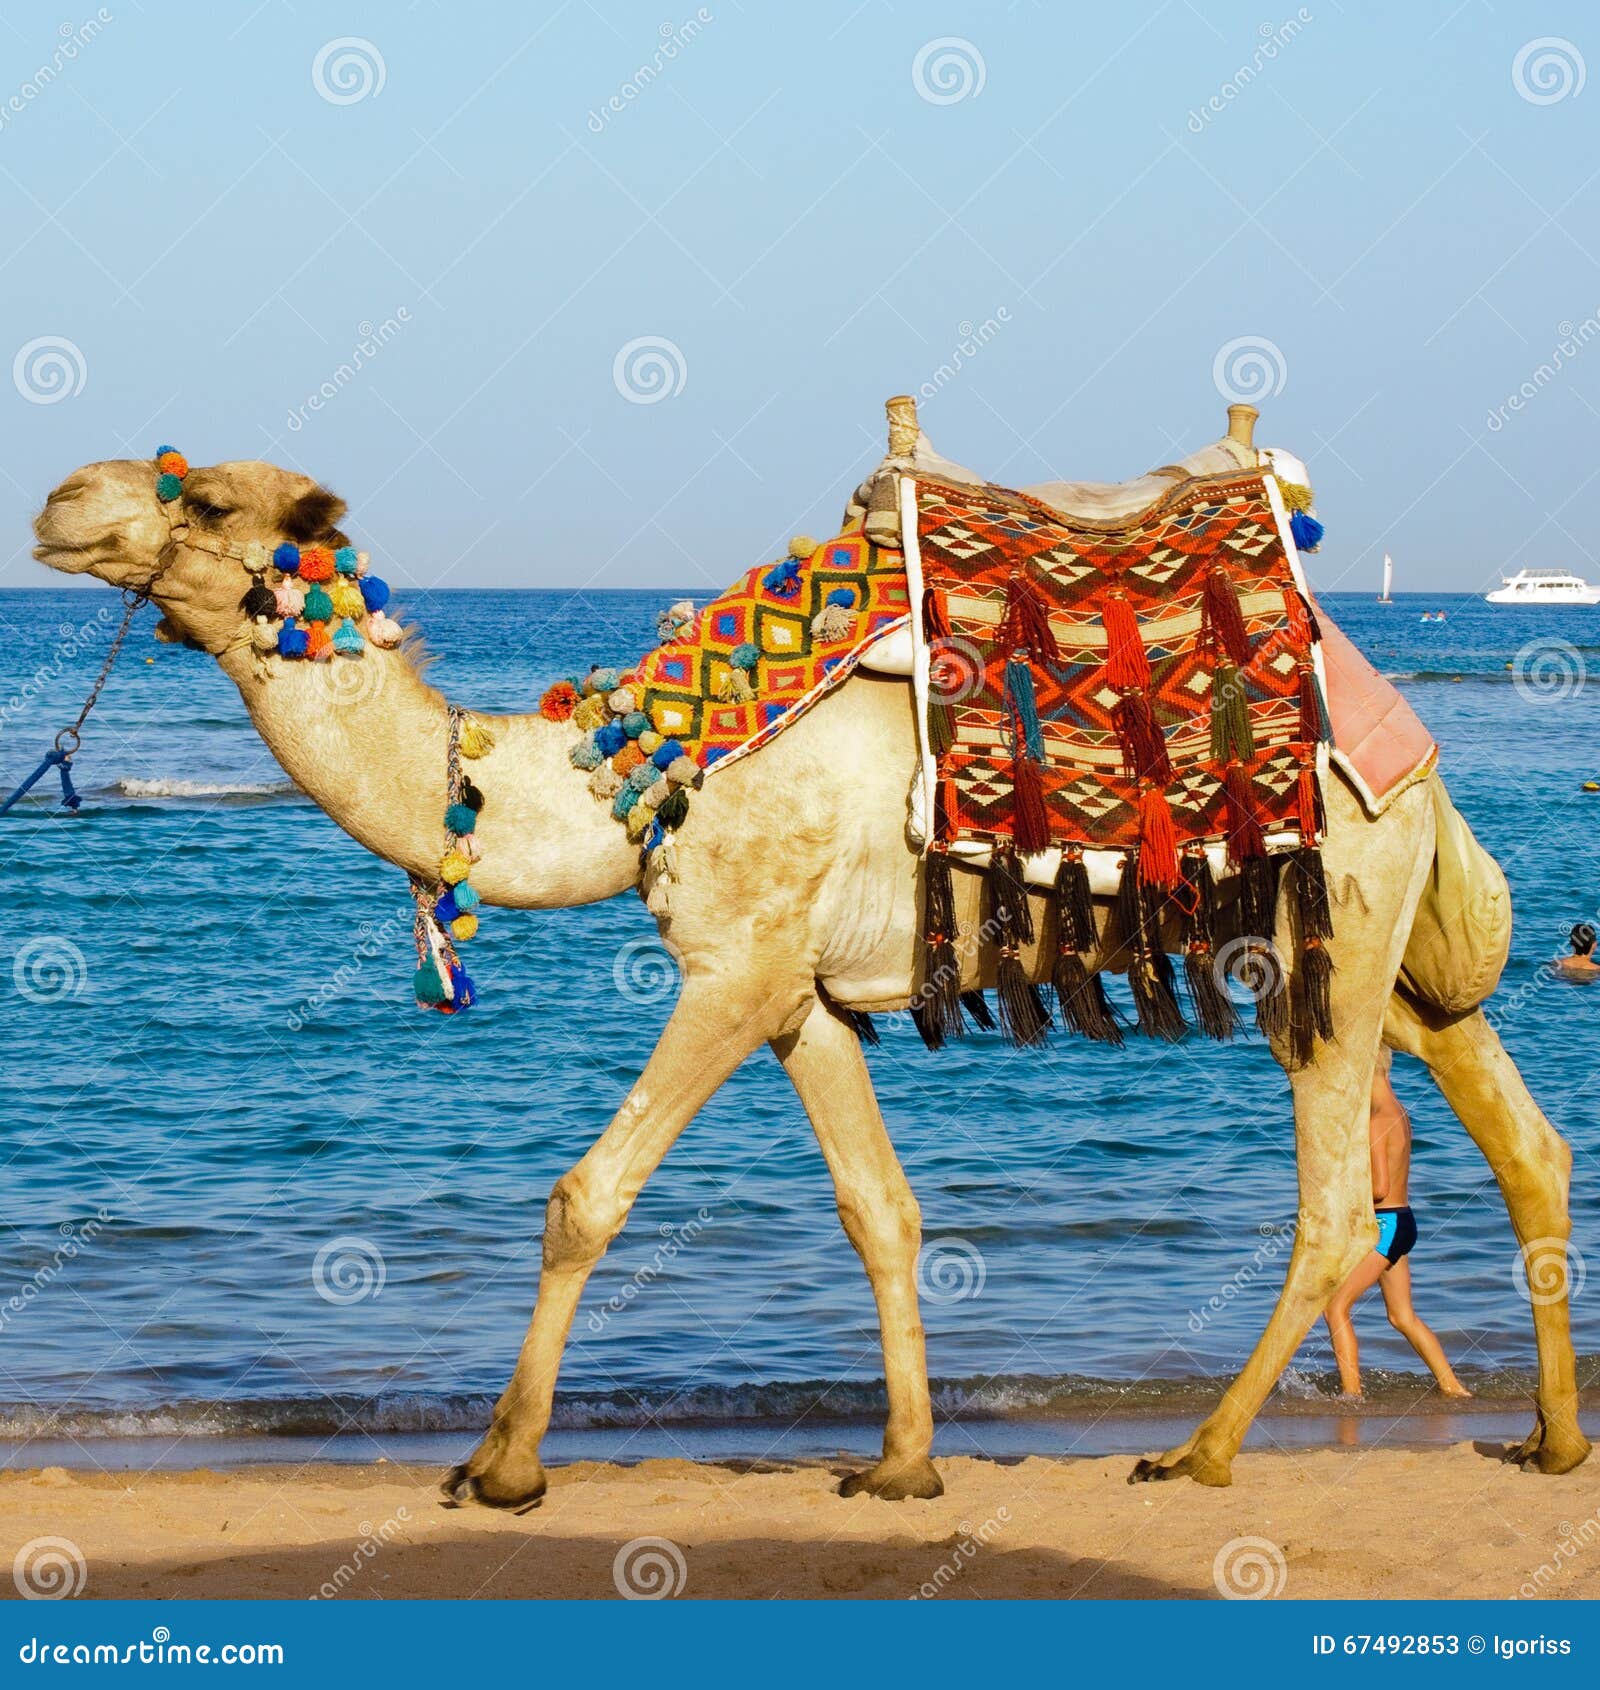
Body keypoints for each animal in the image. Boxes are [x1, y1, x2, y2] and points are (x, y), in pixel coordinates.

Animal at [30, 413, 1589, 1511]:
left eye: (207, 498)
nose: (57, 502)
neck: (629, 777)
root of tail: (1404, 738)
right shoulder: (801, 1001)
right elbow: (880, 1211)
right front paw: (902, 1460)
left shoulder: (731, 967)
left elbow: (586, 1198)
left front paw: (503, 1466)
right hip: (1397, 959)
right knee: (1525, 1140)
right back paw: (1553, 1439)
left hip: (1327, 939)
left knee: (1331, 1206)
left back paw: (1199, 1450)